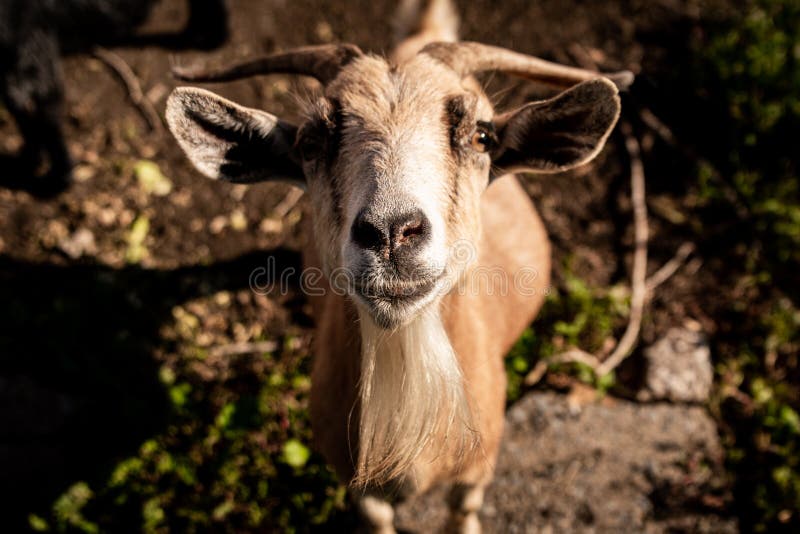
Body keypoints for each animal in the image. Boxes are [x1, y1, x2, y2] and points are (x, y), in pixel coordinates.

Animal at [166, 0, 630, 531]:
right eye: (309, 142)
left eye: (482, 136)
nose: (391, 233)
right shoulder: (356, 481)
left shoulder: (479, 464)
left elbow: (463, 510)